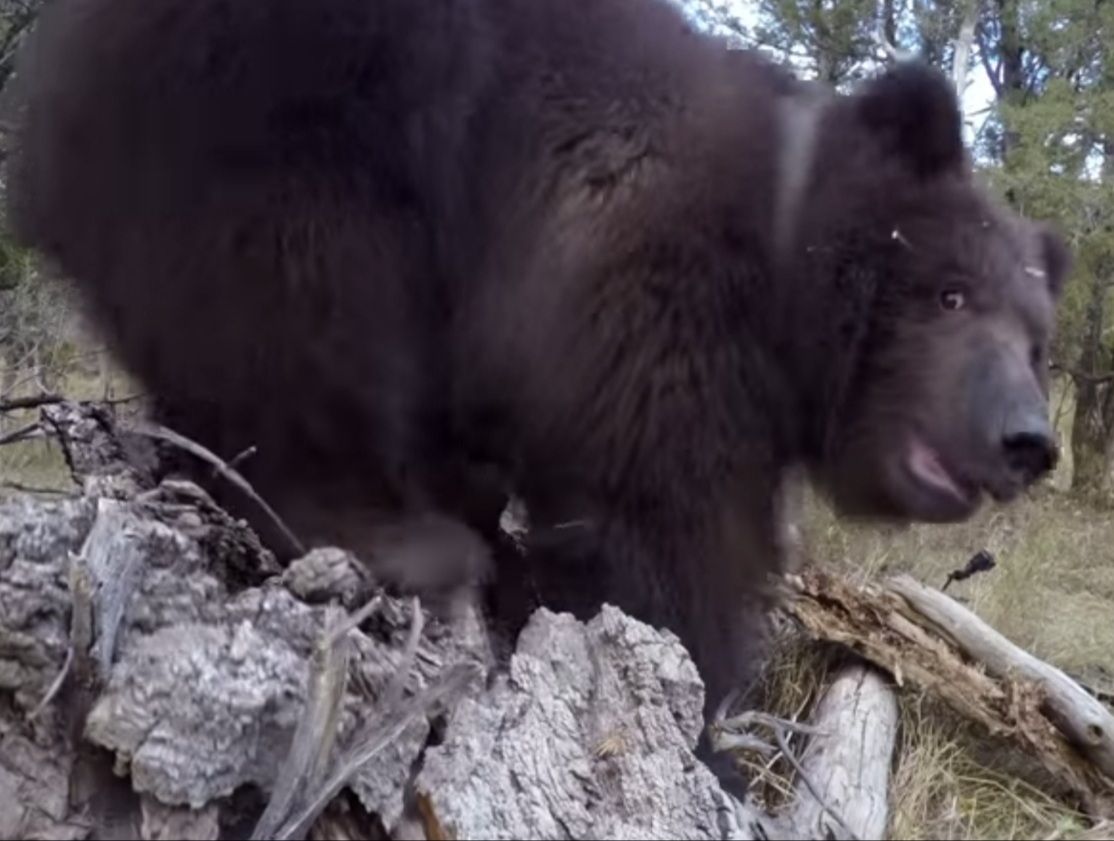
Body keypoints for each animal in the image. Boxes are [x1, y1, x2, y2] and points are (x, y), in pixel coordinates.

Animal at [7, 0, 1068, 753]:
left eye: (1038, 341)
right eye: (951, 295)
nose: (1027, 439)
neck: (778, 279)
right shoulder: (648, 303)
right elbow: (667, 534)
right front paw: (703, 701)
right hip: (305, 89)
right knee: (297, 282)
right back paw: (389, 535)